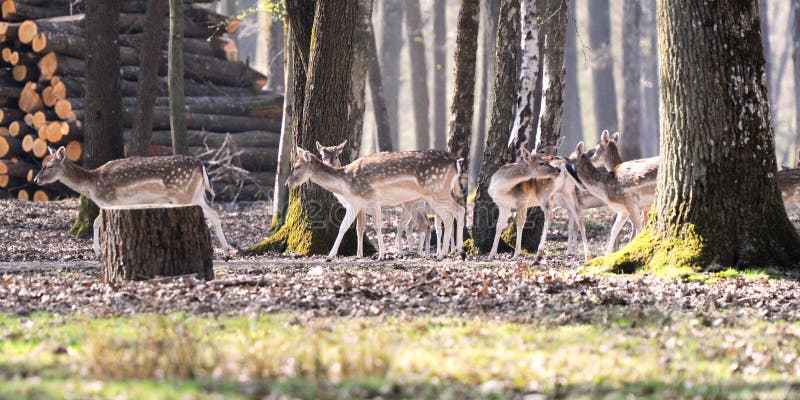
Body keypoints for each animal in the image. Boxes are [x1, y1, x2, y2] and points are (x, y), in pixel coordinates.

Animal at [33, 146, 231, 257]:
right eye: (42, 163)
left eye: (49, 166)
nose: (36, 180)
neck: (92, 186)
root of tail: (201, 165)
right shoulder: (108, 205)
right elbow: (96, 222)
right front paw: (98, 251)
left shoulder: (112, 201)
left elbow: (99, 223)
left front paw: (99, 251)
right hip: (196, 194)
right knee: (213, 215)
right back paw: (227, 249)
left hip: (183, 194)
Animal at [287, 147, 465, 261]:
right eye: (292, 164)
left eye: (297, 166)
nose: (288, 184)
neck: (345, 184)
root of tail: (456, 162)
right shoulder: (355, 203)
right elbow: (344, 226)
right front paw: (330, 256)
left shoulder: (372, 198)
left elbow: (377, 225)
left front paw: (381, 255)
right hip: (436, 195)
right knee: (455, 212)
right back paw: (457, 252)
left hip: (437, 192)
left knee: (452, 214)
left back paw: (444, 253)